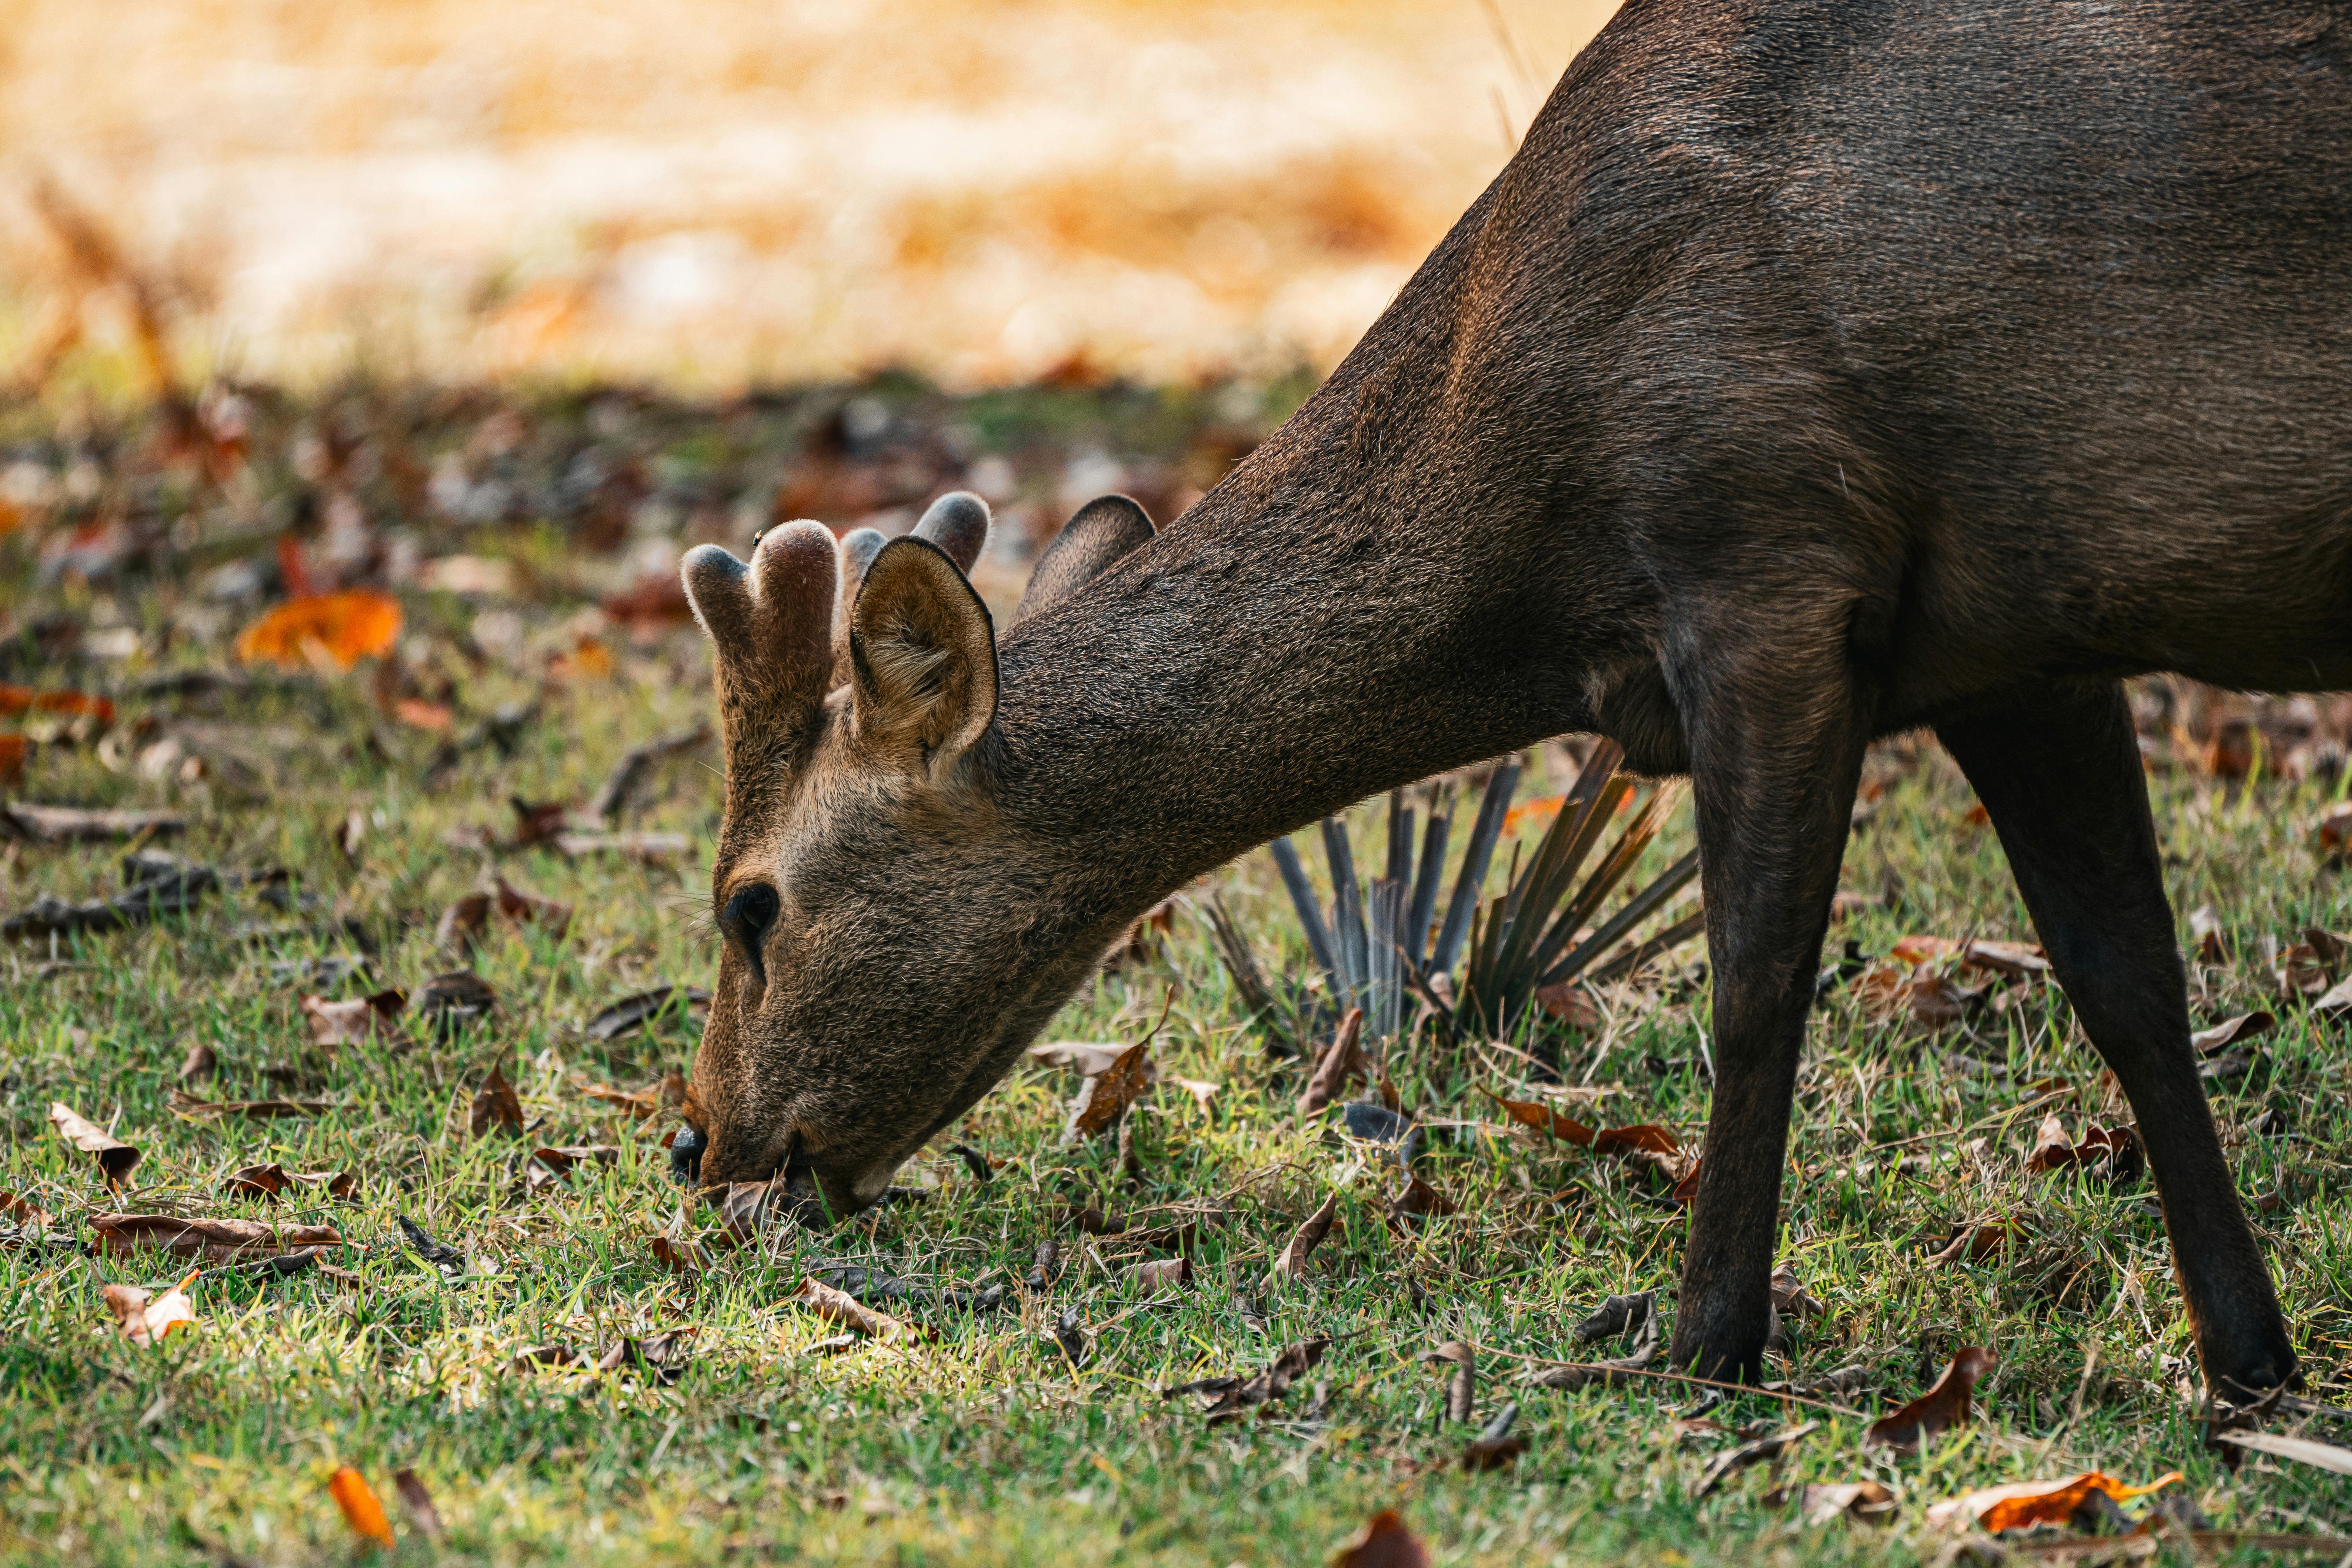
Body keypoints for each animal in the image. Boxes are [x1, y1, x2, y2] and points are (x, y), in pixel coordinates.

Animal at [671, 0, 2350, 1403]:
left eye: (749, 902)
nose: (696, 1135)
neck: (1534, 552)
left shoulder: (1762, 552)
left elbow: (1755, 983)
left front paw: (1705, 1345)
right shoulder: (2022, 637)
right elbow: (2127, 978)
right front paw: (2249, 1359)